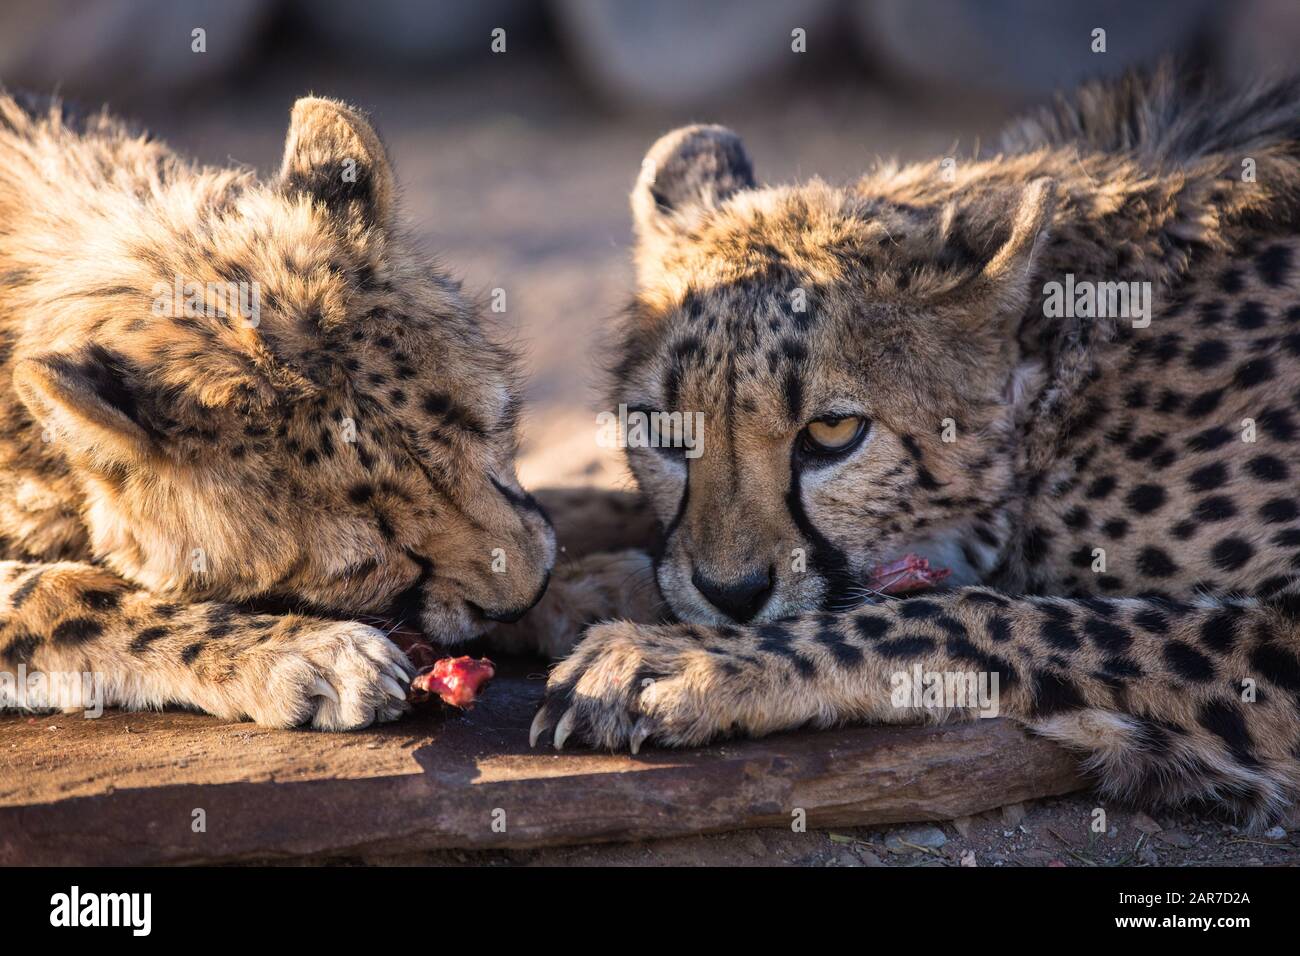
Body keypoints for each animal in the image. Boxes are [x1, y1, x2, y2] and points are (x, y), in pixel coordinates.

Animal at [531, 65, 1300, 827]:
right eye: (663, 431)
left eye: (833, 433)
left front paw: (669, 661)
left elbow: (979, 612)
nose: (732, 595)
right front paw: (565, 577)